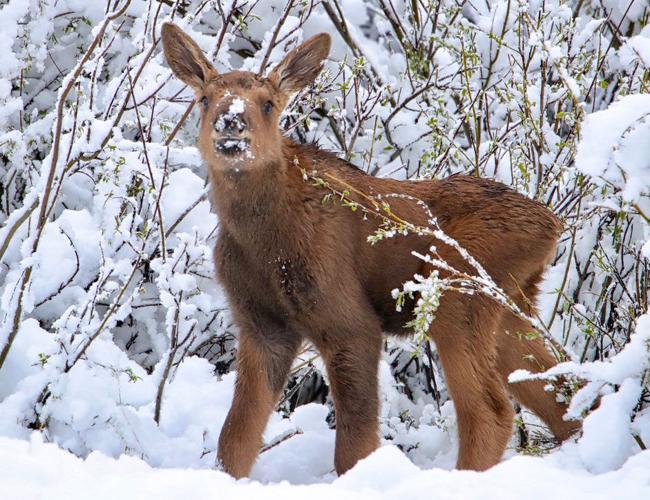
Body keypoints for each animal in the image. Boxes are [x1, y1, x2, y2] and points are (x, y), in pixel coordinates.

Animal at [161, 23, 580, 479]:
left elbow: (354, 442)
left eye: (268, 103)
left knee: (492, 410)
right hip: (509, 310)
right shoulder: (261, 325)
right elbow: (235, 438)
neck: (265, 241)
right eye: (204, 99)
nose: (231, 121)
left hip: (456, 295)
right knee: (563, 391)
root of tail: (553, 226)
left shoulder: (350, 320)